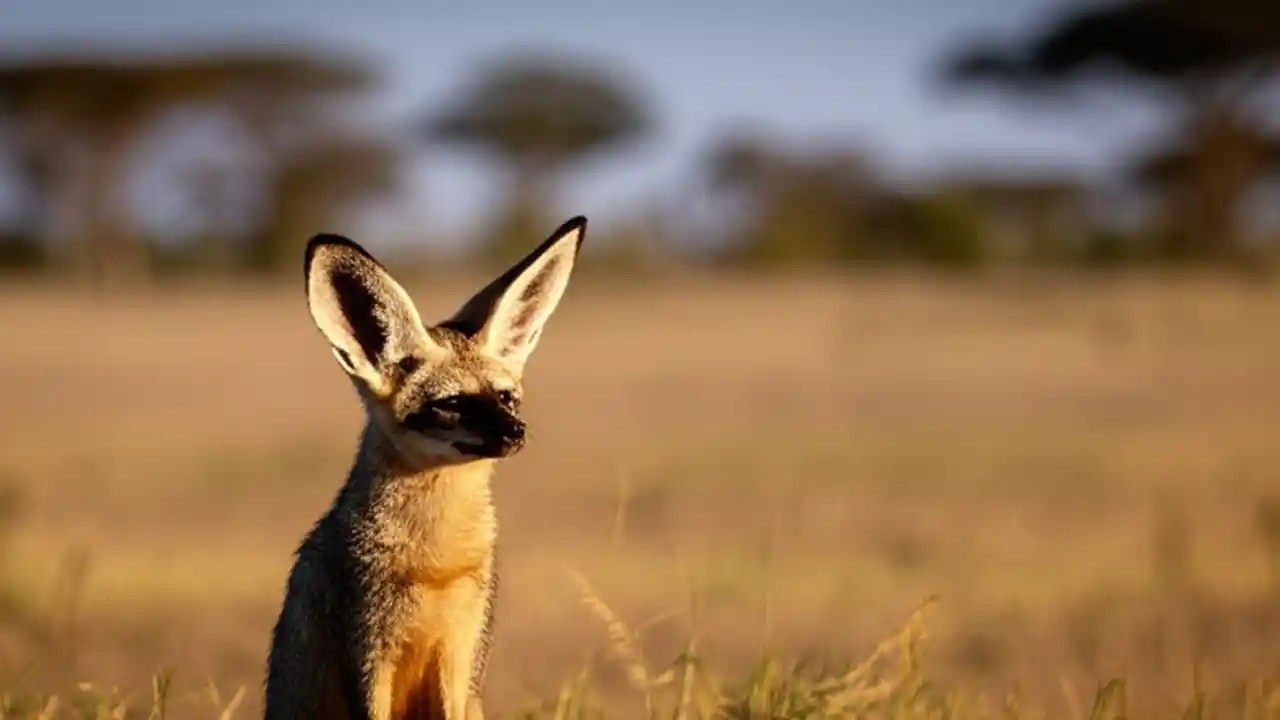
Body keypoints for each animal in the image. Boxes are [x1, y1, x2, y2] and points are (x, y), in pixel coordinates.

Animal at [265, 217, 587, 720]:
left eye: (506, 398)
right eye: (451, 404)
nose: (517, 432)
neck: (433, 561)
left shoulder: (459, 653)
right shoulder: (368, 655)